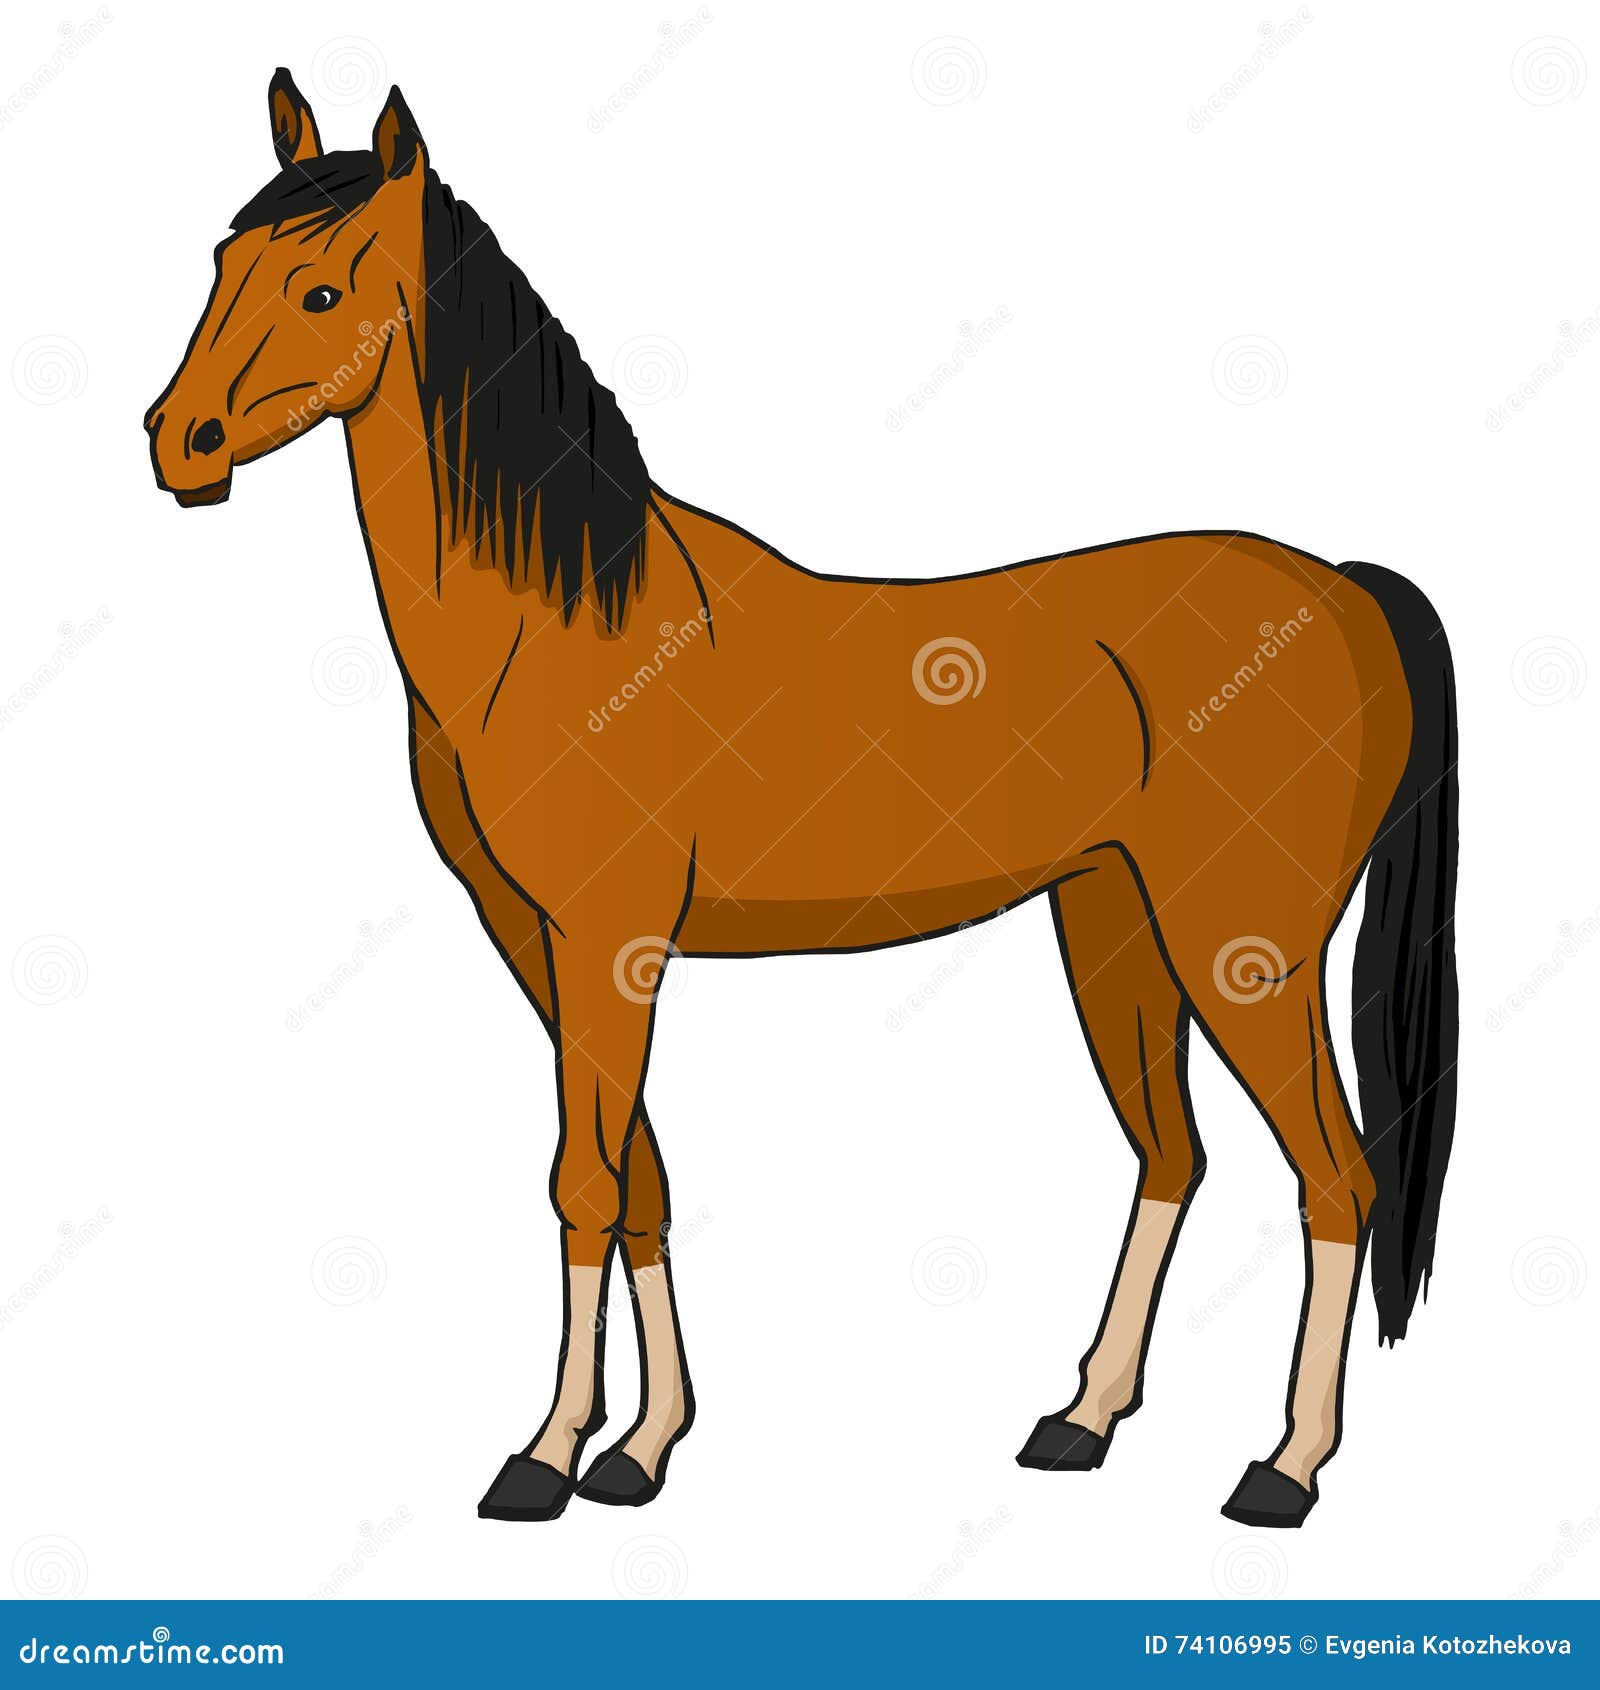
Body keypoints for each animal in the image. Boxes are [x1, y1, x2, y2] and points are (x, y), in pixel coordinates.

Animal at [145, 72, 1458, 1529]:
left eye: (320, 290)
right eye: (221, 265)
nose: (177, 444)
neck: (562, 626)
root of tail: (1340, 588)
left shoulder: (610, 939)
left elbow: (584, 1179)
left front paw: (545, 1456)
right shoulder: (543, 943)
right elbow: (639, 1178)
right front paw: (643, 1446)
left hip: (1244, 947)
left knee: (1336, 1174)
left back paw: (1284, 1467)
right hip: (1114, 926)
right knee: (1171, 1154)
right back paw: (1080, 1420)